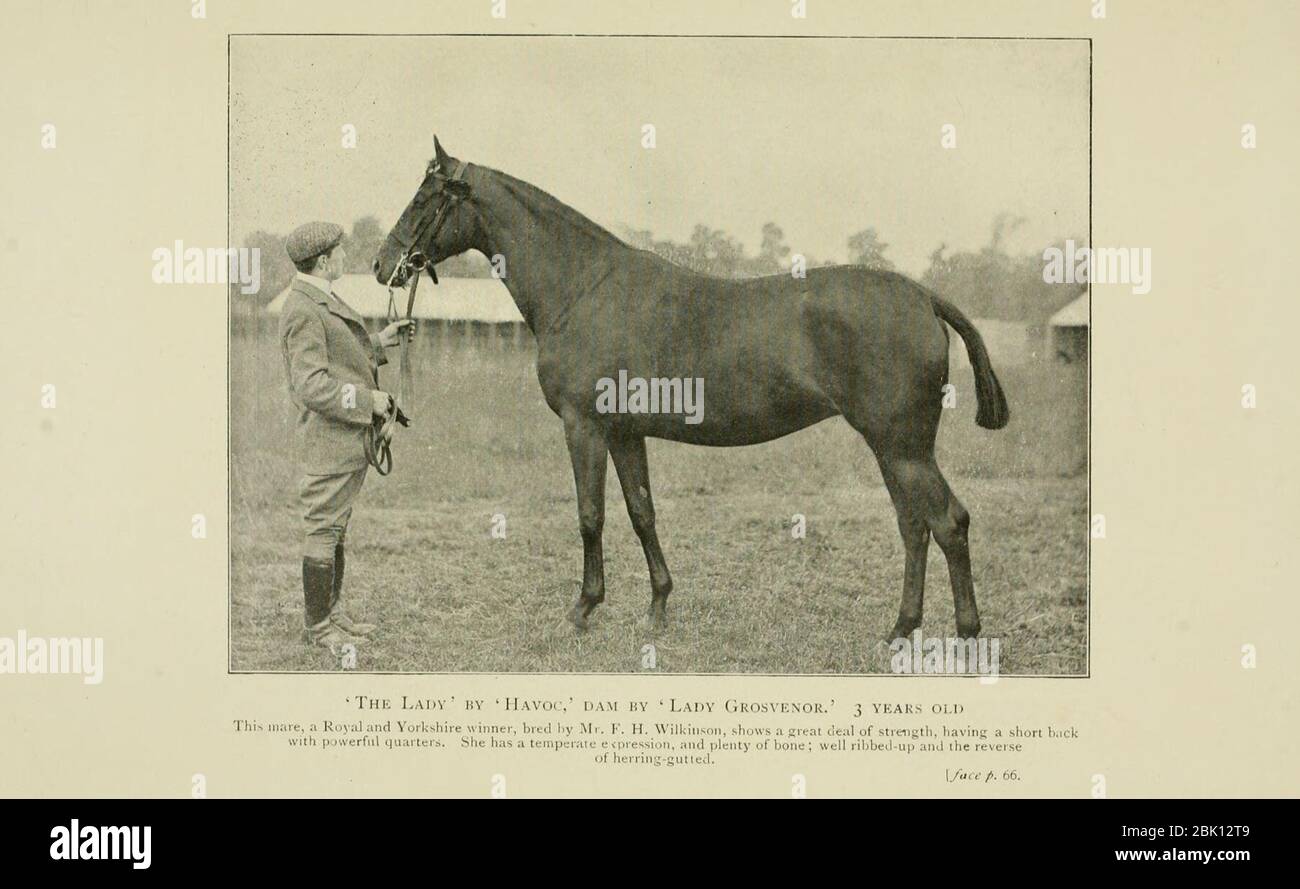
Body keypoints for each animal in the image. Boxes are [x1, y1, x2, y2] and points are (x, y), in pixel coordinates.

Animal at [374, 137, 1009, 641]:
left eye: (425, 199)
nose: (384, 264)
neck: (583, 288)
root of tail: (923, 296)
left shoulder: (584, 426)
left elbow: (590, 515)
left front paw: (583, 609)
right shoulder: (624, 432)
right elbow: (641, 512)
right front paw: (657, 606)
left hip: (902, 447)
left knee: (947, 522)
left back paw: (965, 633)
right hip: (893, 448)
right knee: (914, 527)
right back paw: (902, 627)